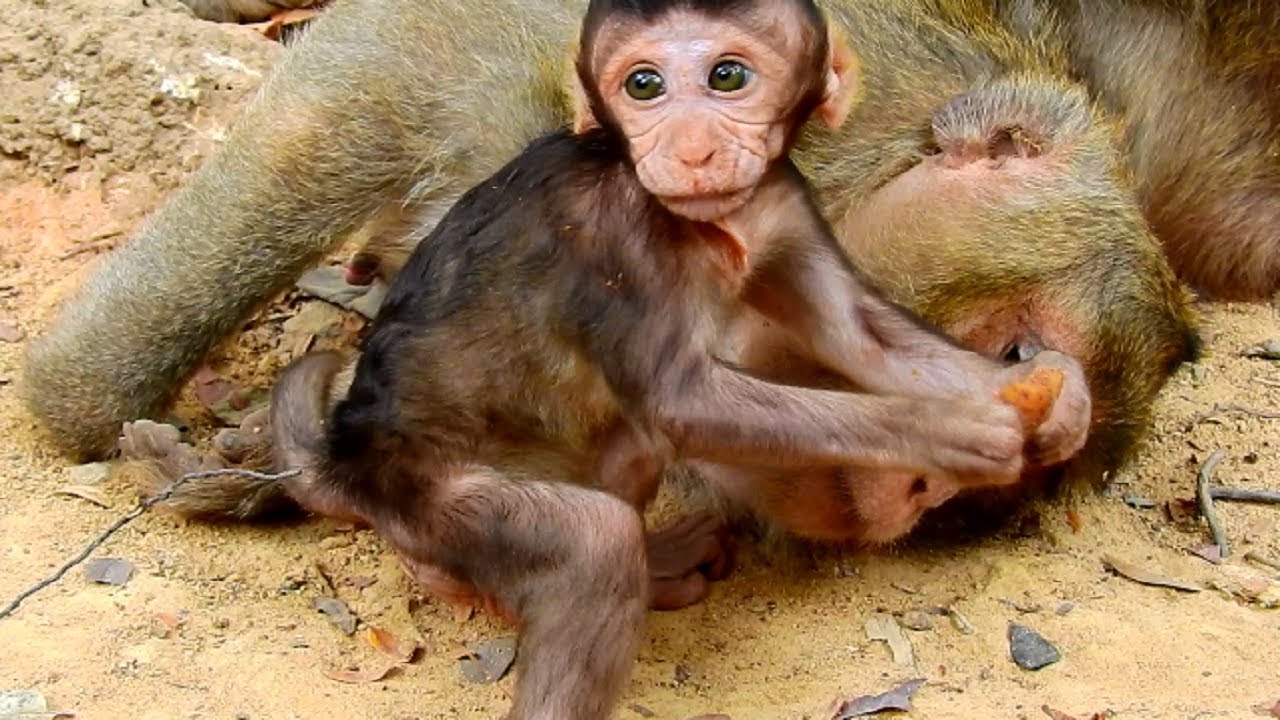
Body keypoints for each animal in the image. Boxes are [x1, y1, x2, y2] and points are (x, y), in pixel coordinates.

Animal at [218, 1, 1090, 714]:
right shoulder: (619, 238)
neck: (710, 224)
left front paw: (1049, 394)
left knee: (626, 454)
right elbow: (682, 401)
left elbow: (854, 334)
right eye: (643, 85)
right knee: (593, 543)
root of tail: (350, 454)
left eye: (730, 76)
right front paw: (950, 433)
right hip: (426, 490)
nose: (691, 148)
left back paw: (643, 563)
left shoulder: (781, 202)